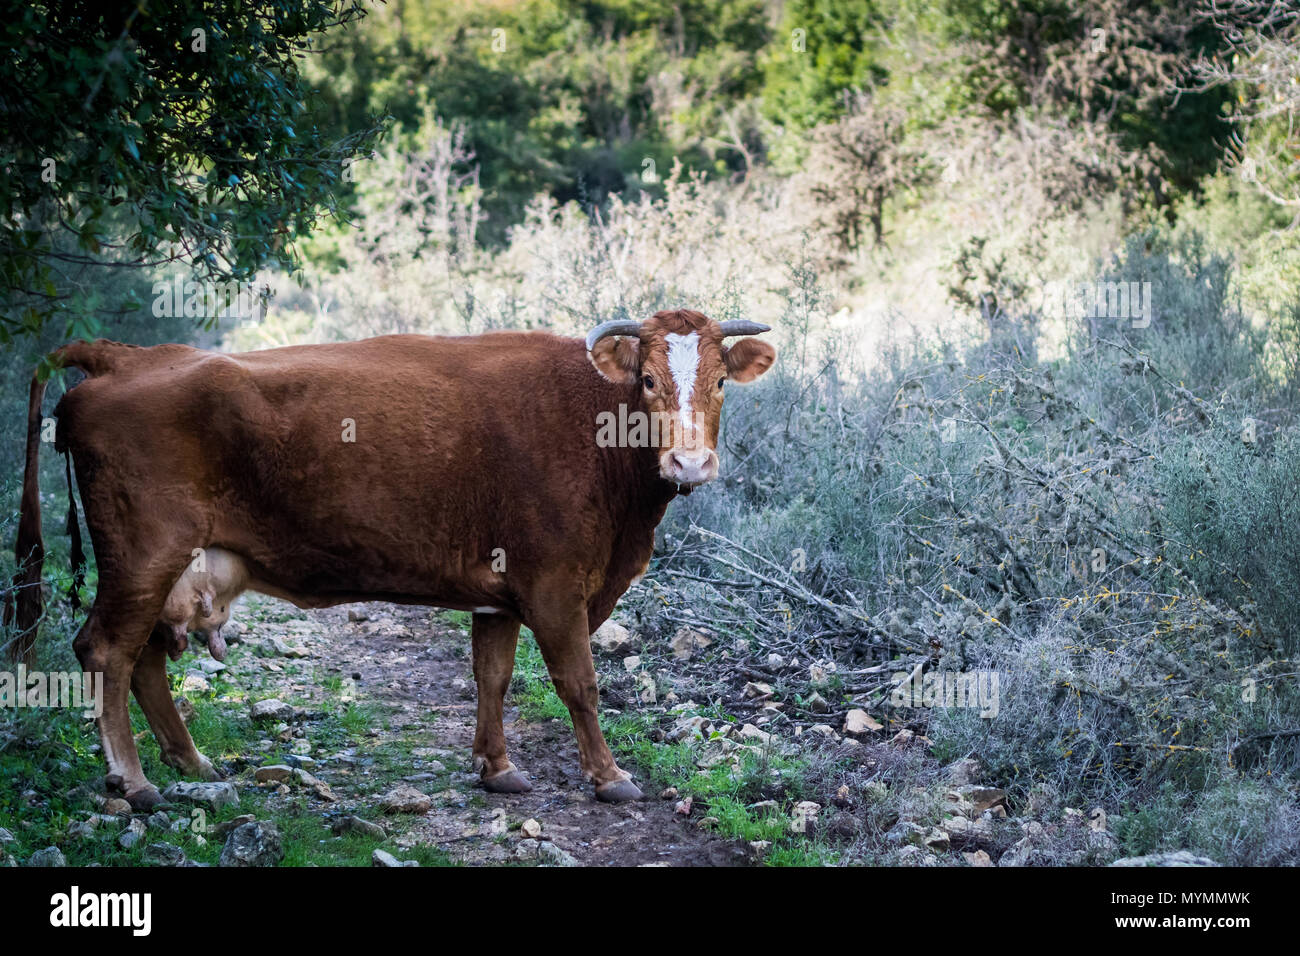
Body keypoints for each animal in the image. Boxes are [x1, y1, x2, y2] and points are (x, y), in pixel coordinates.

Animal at [5, 308, 775, 810]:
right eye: (647, 380)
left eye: (720, 384)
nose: (690, 462)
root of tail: (126, 355)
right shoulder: (557, 588)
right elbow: (580, 686)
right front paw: (609, 777)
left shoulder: (499, 589)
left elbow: (492, 677)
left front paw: (496, 768)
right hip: (144, 555)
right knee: (107, 650)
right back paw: (133, 784)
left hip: (163, 568)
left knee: (144, 660)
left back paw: (192, 762)